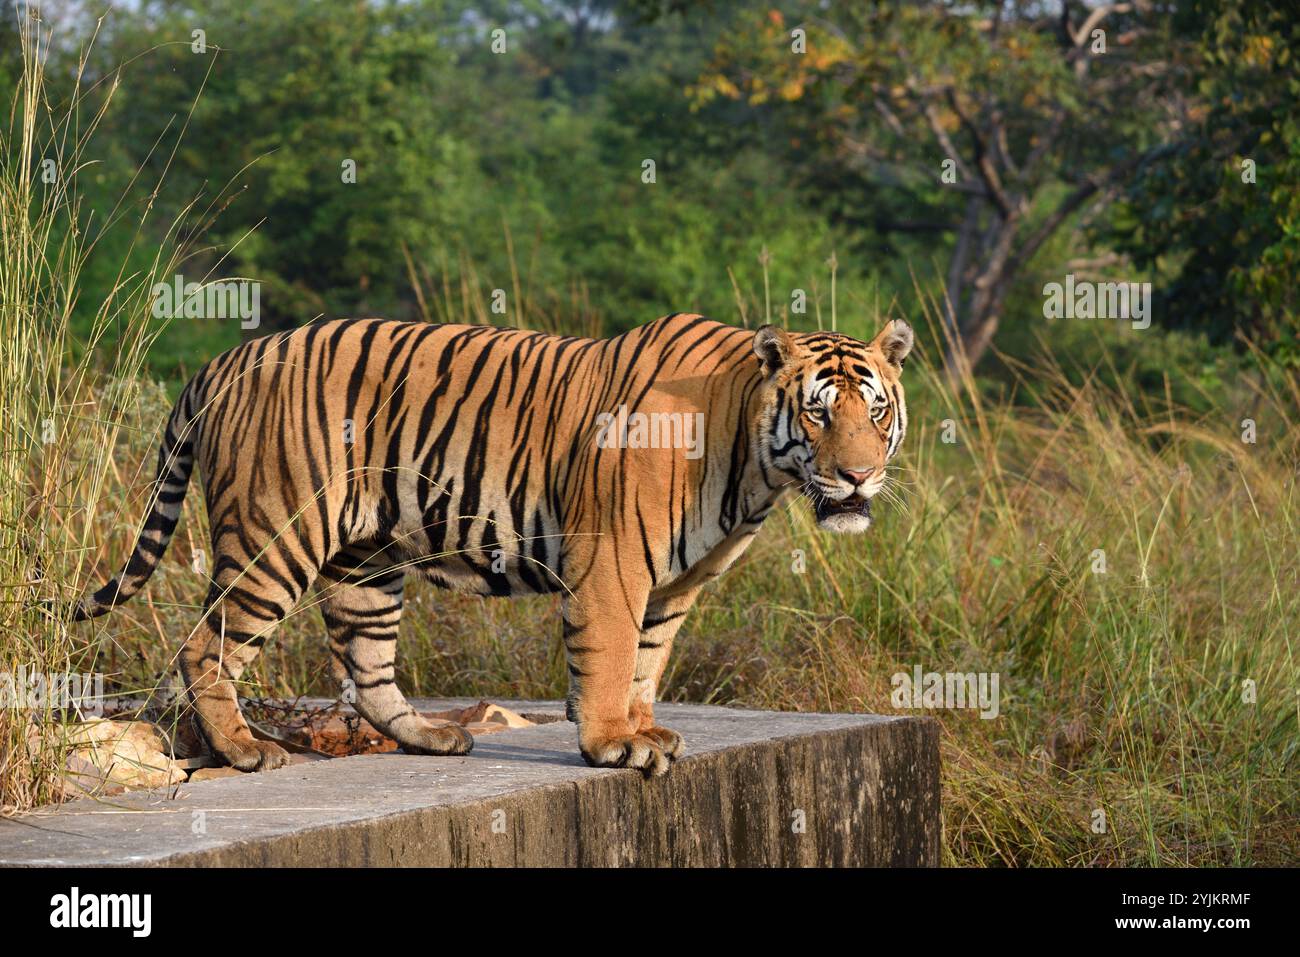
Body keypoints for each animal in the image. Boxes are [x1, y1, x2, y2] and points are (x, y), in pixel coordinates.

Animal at [65, 313, 913, 776]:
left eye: (874, 411)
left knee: (368, 667)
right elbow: (611, 657)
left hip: (365, 558)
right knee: (205, 647)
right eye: (816, 412)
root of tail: (229, 357)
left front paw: (643, 728)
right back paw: (244, 750)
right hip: (277, 537)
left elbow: (647, 661)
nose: (858, 475)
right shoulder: (613, 562)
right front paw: (613, 744)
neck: (754, 464)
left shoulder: (675, 583)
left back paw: (430, 736)